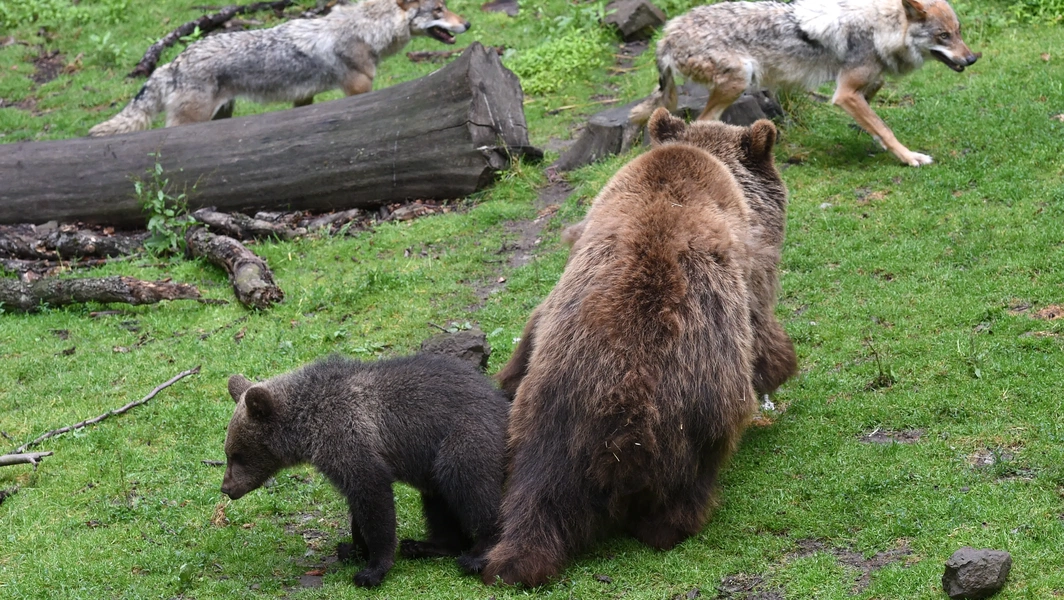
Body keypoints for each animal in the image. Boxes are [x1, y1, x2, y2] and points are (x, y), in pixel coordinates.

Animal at [89, 0, 469, 136]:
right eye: (439, 10)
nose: (466, 24)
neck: (365, 30)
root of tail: (173, 62)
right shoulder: (357, 90)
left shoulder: (304, 98)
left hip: (221, 114)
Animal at [221, 354, 507, 587]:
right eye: (228, 453)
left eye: (237, 455)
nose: (226, 488)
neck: (307, 426)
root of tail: (503, 405)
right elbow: (357, 506)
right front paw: (353, 548)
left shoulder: (350, 440)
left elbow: (373, 500)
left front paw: (372, 570)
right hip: (432, 464)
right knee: (437, 501)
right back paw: (425, 545)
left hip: (463, 439)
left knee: (470, 488)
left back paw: (477, 554)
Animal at [630, 0, 979, 167]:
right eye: (942, 36)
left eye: (958, 31)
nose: (972, 58)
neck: (880, 28)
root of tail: (666, 35)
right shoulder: (845, 93)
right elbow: (885, 127)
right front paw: (909, 157)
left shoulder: (862, 86)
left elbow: (875, 119)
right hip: (741, 77)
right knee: (701, 122)